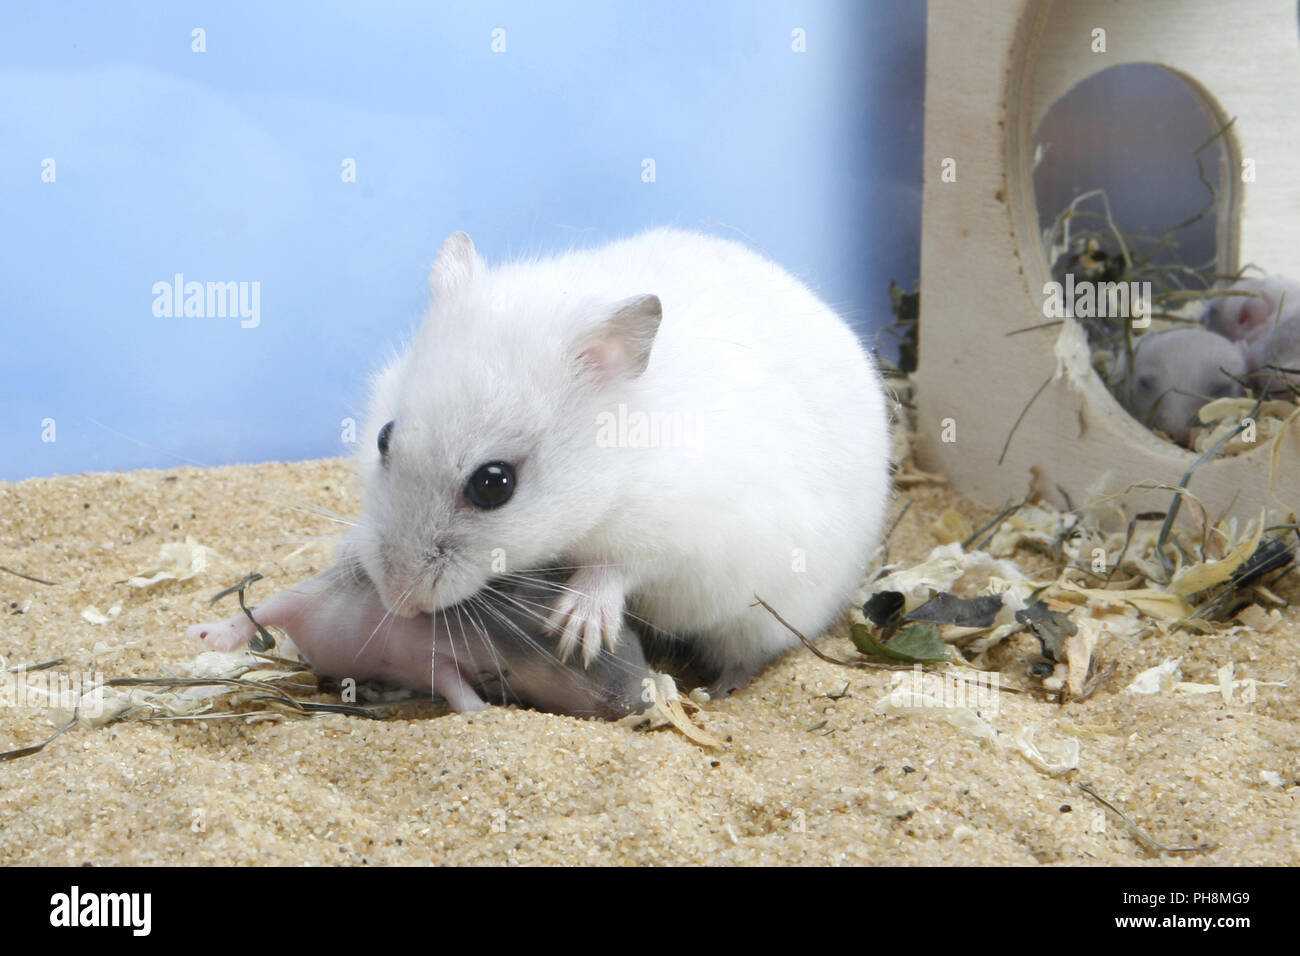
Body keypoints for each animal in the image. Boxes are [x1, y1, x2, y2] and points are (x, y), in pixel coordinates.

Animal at [187, 563, 650, 718]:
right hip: (304, 598)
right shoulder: (434, 659)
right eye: (569, 653)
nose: (640, 705)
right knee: (262, 611)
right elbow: (454, 686)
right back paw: (209, 634)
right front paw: (482, 711)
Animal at [352, 227, 891, 695]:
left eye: (494, 484)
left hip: (767, 615)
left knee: (749, 654)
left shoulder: (679, 536)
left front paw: (577, 634)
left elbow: (617, 568)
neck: (617, 468)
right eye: (383, 437)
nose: (398, 602)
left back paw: (717, 690)